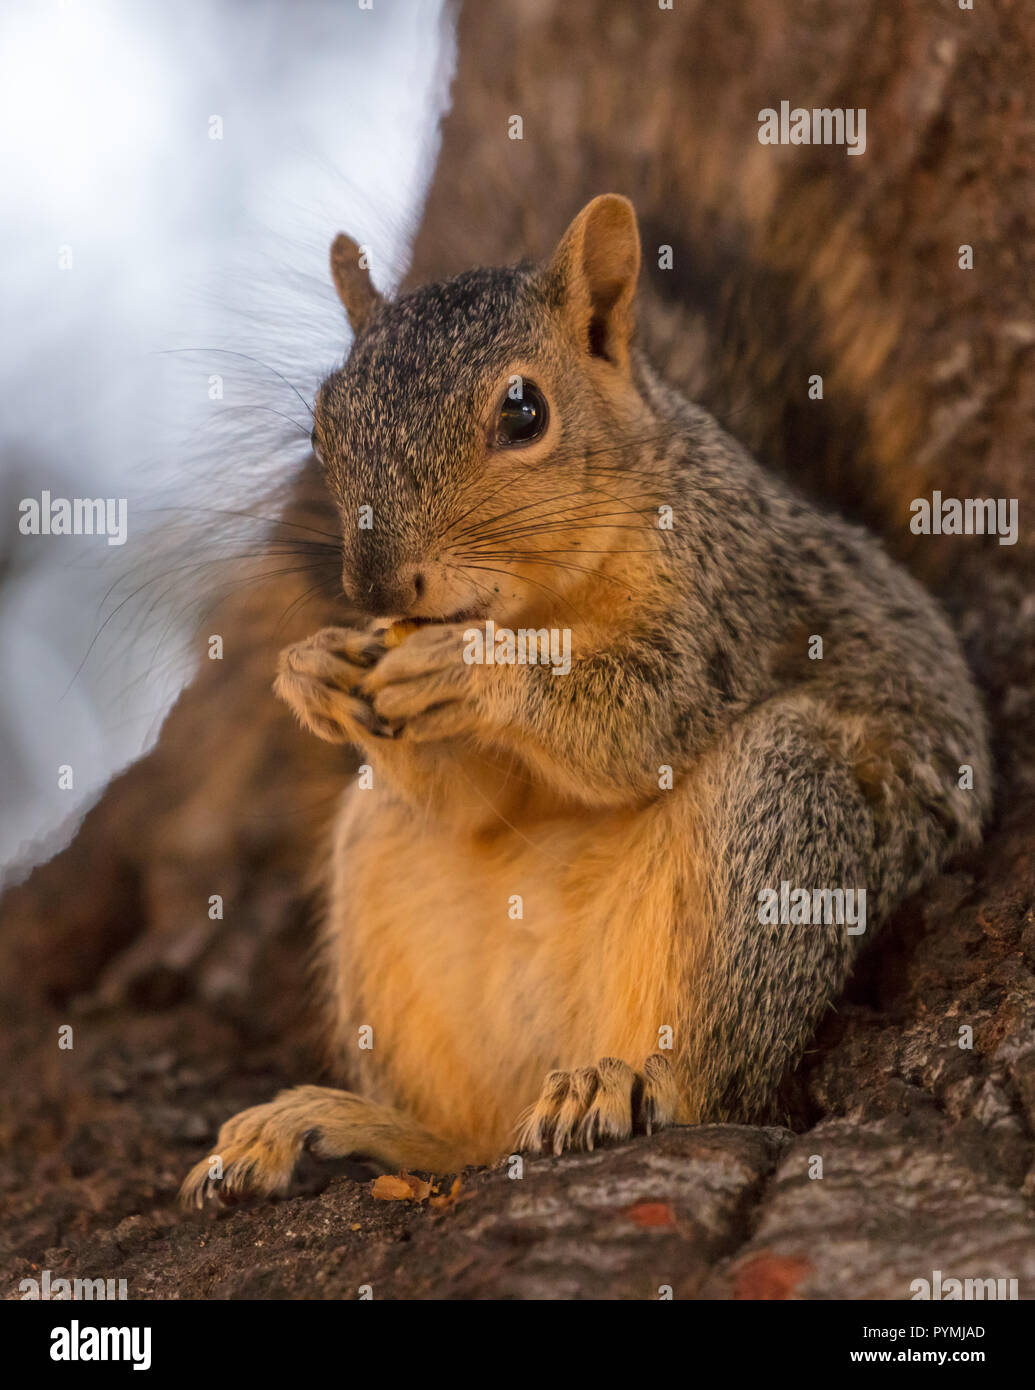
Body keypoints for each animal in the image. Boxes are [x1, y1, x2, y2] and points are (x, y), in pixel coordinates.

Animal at [180, 194, 991, 1204]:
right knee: (464, 1141)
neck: (540, 600)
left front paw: (473, 670)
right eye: (322, 430)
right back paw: (333, 1127)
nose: (377, 588)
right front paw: (313, 671)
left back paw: (628, 1082)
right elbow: (474, 799)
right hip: (385, 870)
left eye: (523, 411)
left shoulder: (723, 596)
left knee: (717, 1085)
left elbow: (642, 719)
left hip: (777, 815)